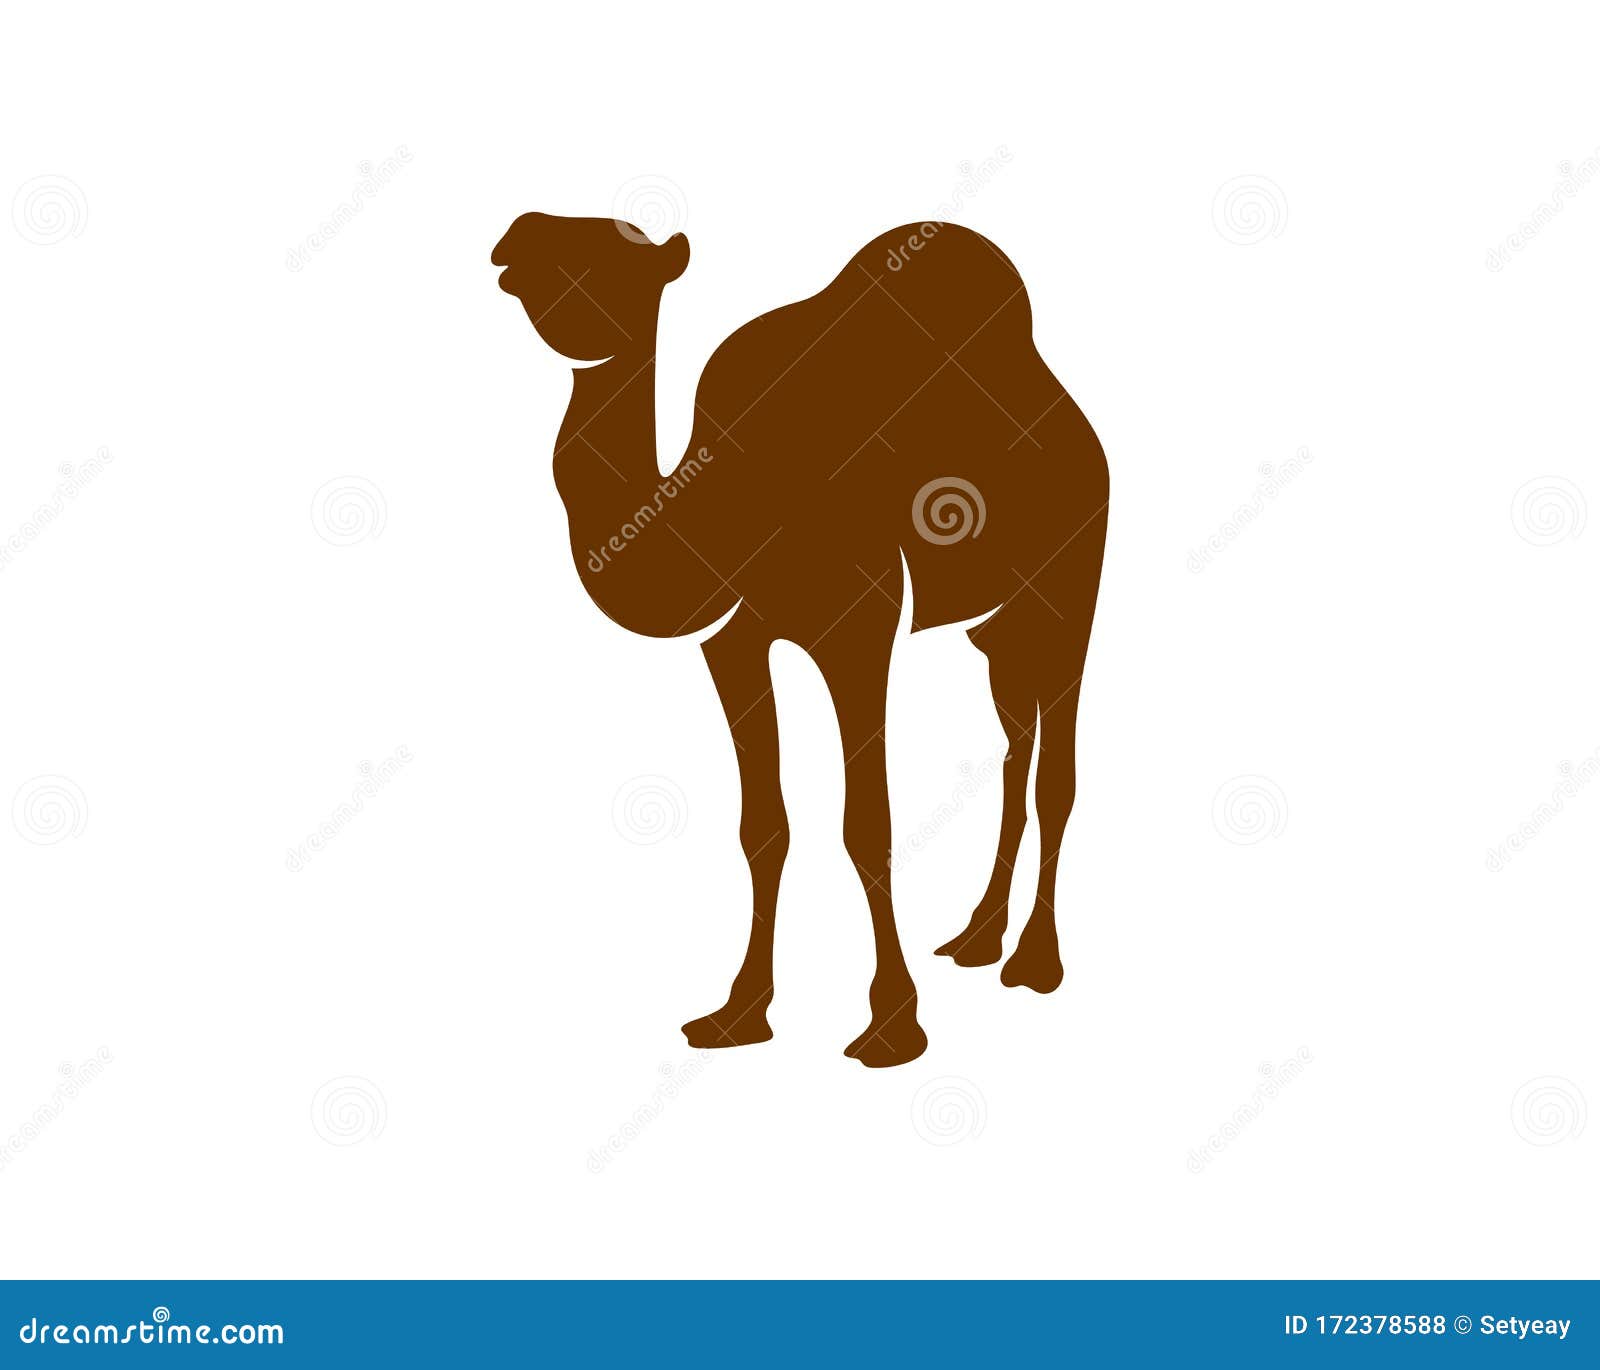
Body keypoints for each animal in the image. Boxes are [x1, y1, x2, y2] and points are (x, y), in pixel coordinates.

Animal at [491, 212, 1107, 1067]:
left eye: (607, 255)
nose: (514, 239)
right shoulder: (734, 642)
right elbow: (763, 827)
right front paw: (738, 1013)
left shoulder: (858, 625)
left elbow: (868, 825)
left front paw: (892, 1027)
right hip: (994, 630)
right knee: (1016, 745)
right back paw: (978, 940)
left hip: (1070, 587)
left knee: (1057, 772)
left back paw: (1037, 963)